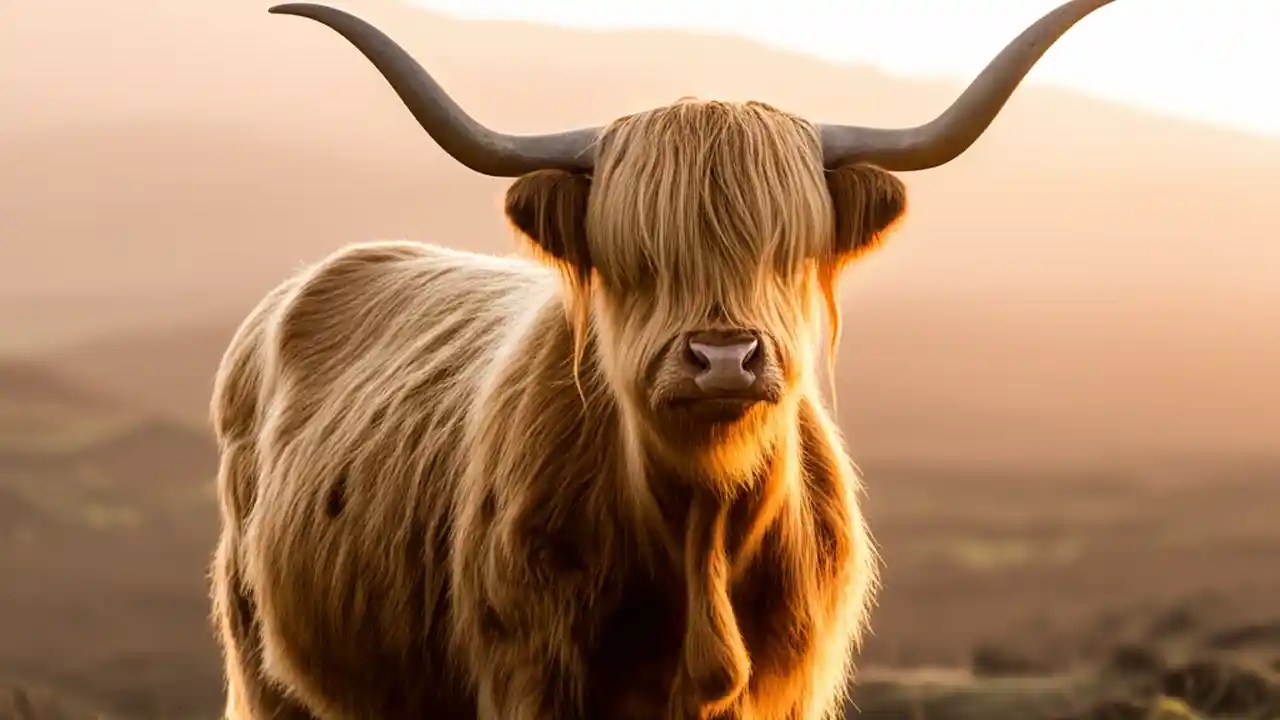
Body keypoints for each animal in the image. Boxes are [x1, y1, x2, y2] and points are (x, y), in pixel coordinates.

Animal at [209, 1, 1120, 718]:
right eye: (637, 256)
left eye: (786, 252)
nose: (723, 358)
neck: (701, 525)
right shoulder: (529, 677)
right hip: (267, 672)